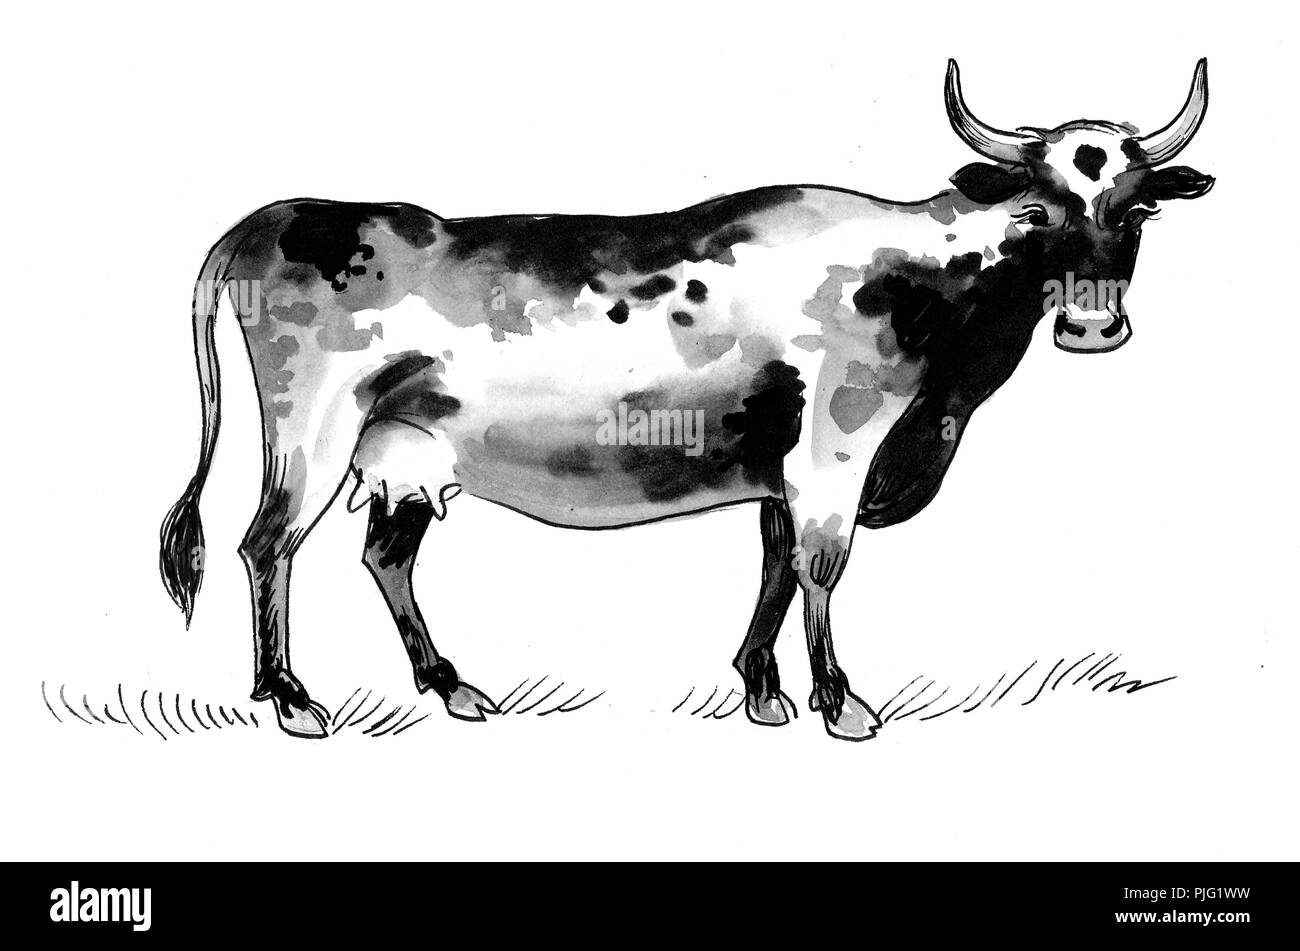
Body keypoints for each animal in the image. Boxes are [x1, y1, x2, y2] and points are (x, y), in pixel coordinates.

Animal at [160, 61, 1212, 741]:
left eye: (1139, 208)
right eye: (1040, 206)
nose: (1092, 326)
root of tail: (277, 217)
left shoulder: (782, 464)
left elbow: (776, 563)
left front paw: (761, 689)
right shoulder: (835, 445)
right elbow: (822, 566)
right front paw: (842, 703)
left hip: (405, 449)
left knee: (386, 556)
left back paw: (450, 685)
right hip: (311, 432)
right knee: (266, 545)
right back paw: (291, 697)